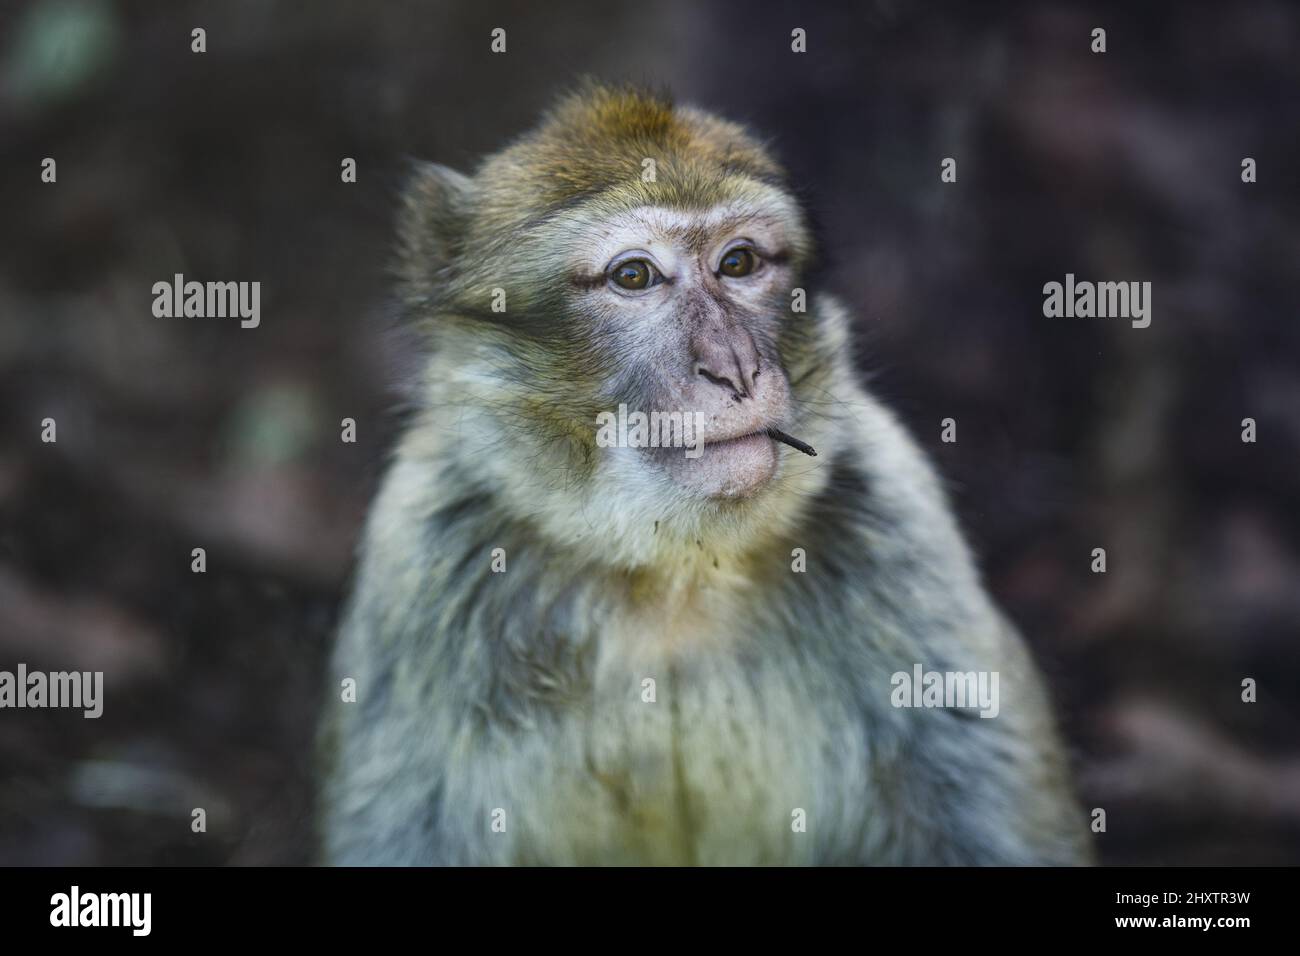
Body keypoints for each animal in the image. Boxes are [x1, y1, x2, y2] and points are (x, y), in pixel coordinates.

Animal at [318, 81, 1092, 866]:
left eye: (739, 263)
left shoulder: (897, 519)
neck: (672, 576)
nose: (735, 367)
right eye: (633, 276)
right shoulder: (424, 562)